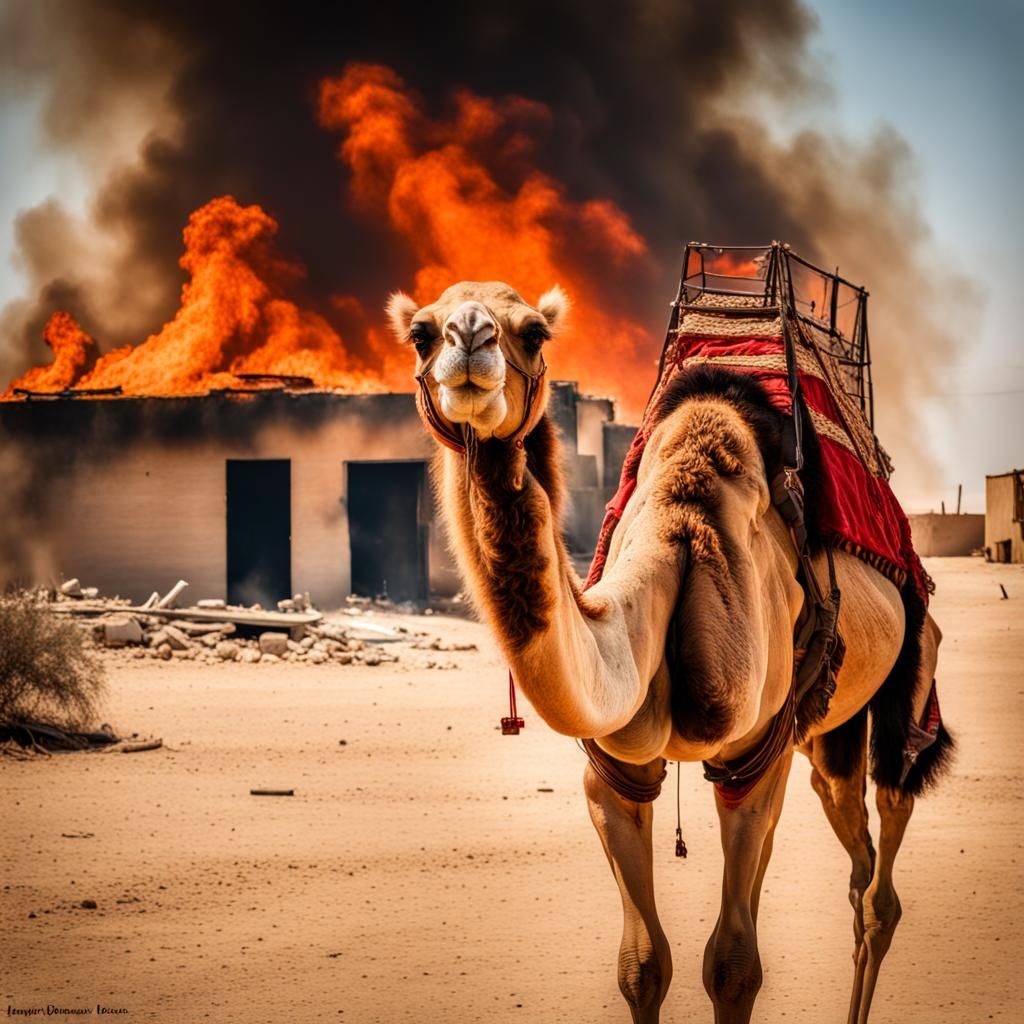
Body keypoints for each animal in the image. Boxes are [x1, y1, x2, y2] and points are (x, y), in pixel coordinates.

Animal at [386, 280, 952, 1023]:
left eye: (534, 332)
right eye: (421, 333)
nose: (471, 339)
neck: (682, 531)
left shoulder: (748, 765)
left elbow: (733, 966)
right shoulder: (614, 776)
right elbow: (641, 963)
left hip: (909, 672)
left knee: (887, 846)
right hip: (821, 733)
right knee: (849, 851)